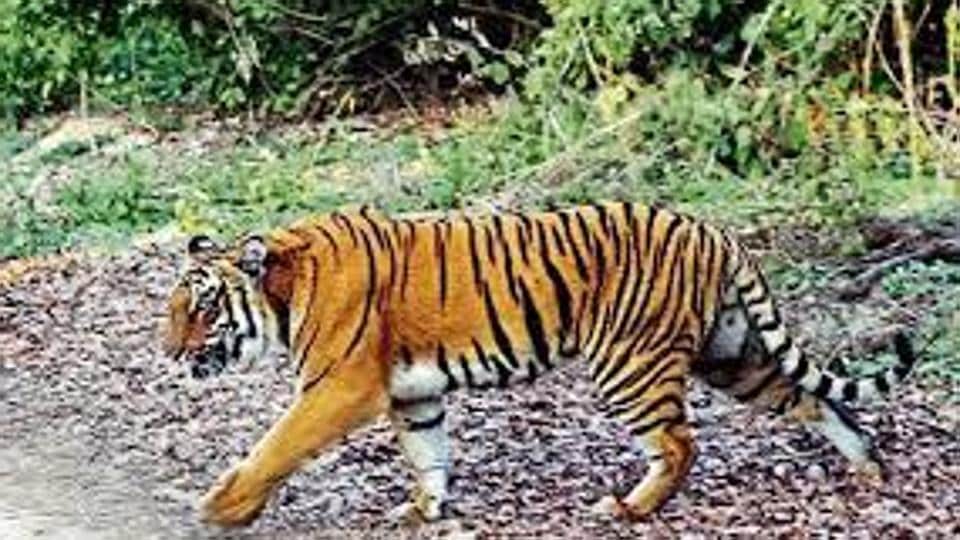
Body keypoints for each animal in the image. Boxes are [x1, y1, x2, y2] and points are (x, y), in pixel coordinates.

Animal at [163, 202, 915, 527]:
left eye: (202, 309)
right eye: (173, 310)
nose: (169, 352)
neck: (284, 290)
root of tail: (713, 229)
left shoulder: (340, 388)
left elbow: (274, 447)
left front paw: (221, 508)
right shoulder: (413, 395)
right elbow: (429, 454)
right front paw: (425, 511)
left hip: (630, 364)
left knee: (679, 441)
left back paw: (628, 507)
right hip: (730, 354)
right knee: (813, 397)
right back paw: (870, 468)